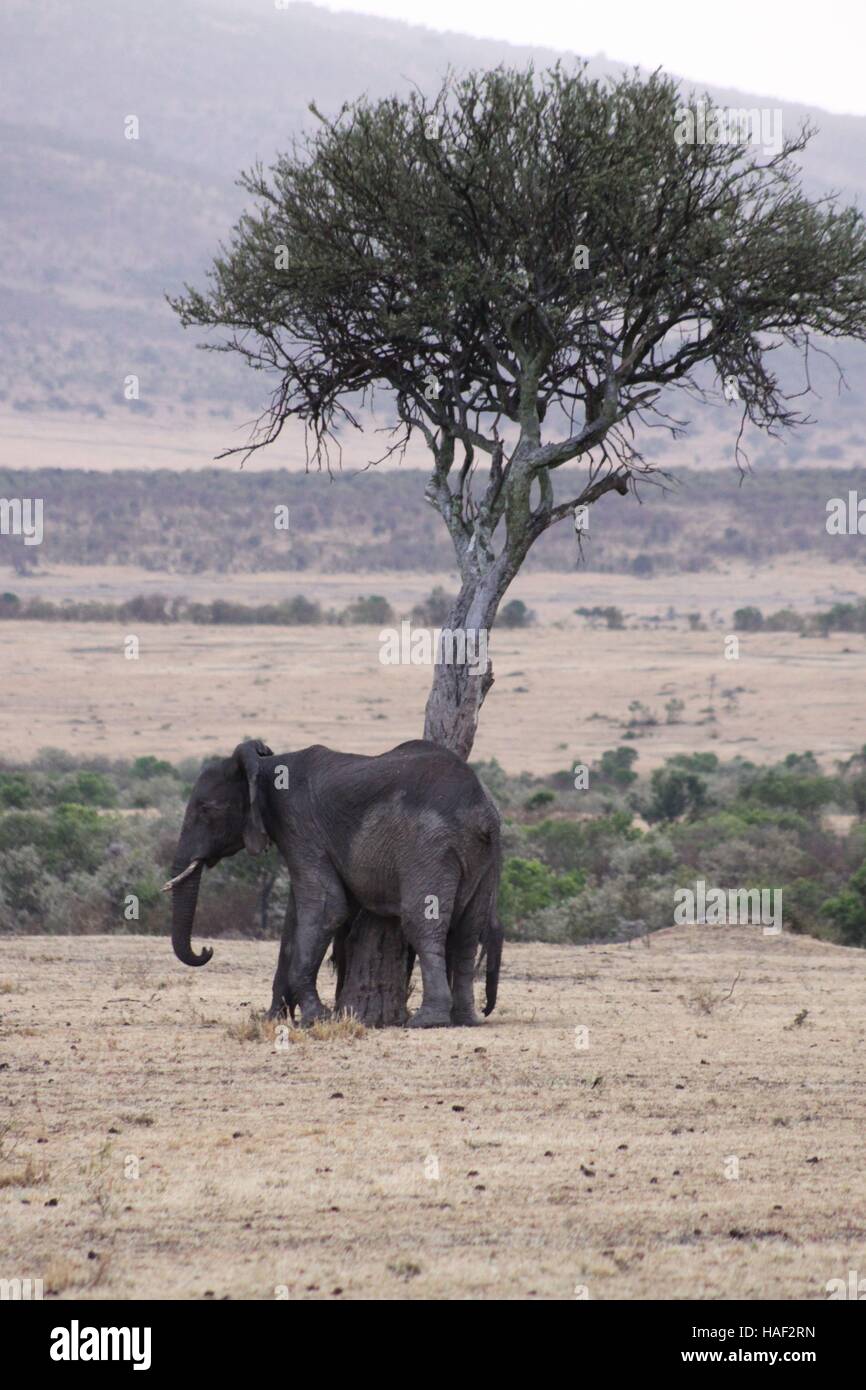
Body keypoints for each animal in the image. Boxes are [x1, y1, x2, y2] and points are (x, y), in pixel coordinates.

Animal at [164, 738, 503, 1028]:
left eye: (206, 810)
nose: (206, 950)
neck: (266, 767)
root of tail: (484, 811)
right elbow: (298, 917)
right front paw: (273, 1018)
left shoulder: (299, 826)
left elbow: (327, 908)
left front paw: (316, 1017)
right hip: (481, 858)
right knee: (467, 931)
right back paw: (466, 1019)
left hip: (430, 846)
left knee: (423, 922)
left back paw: (427, 1021)